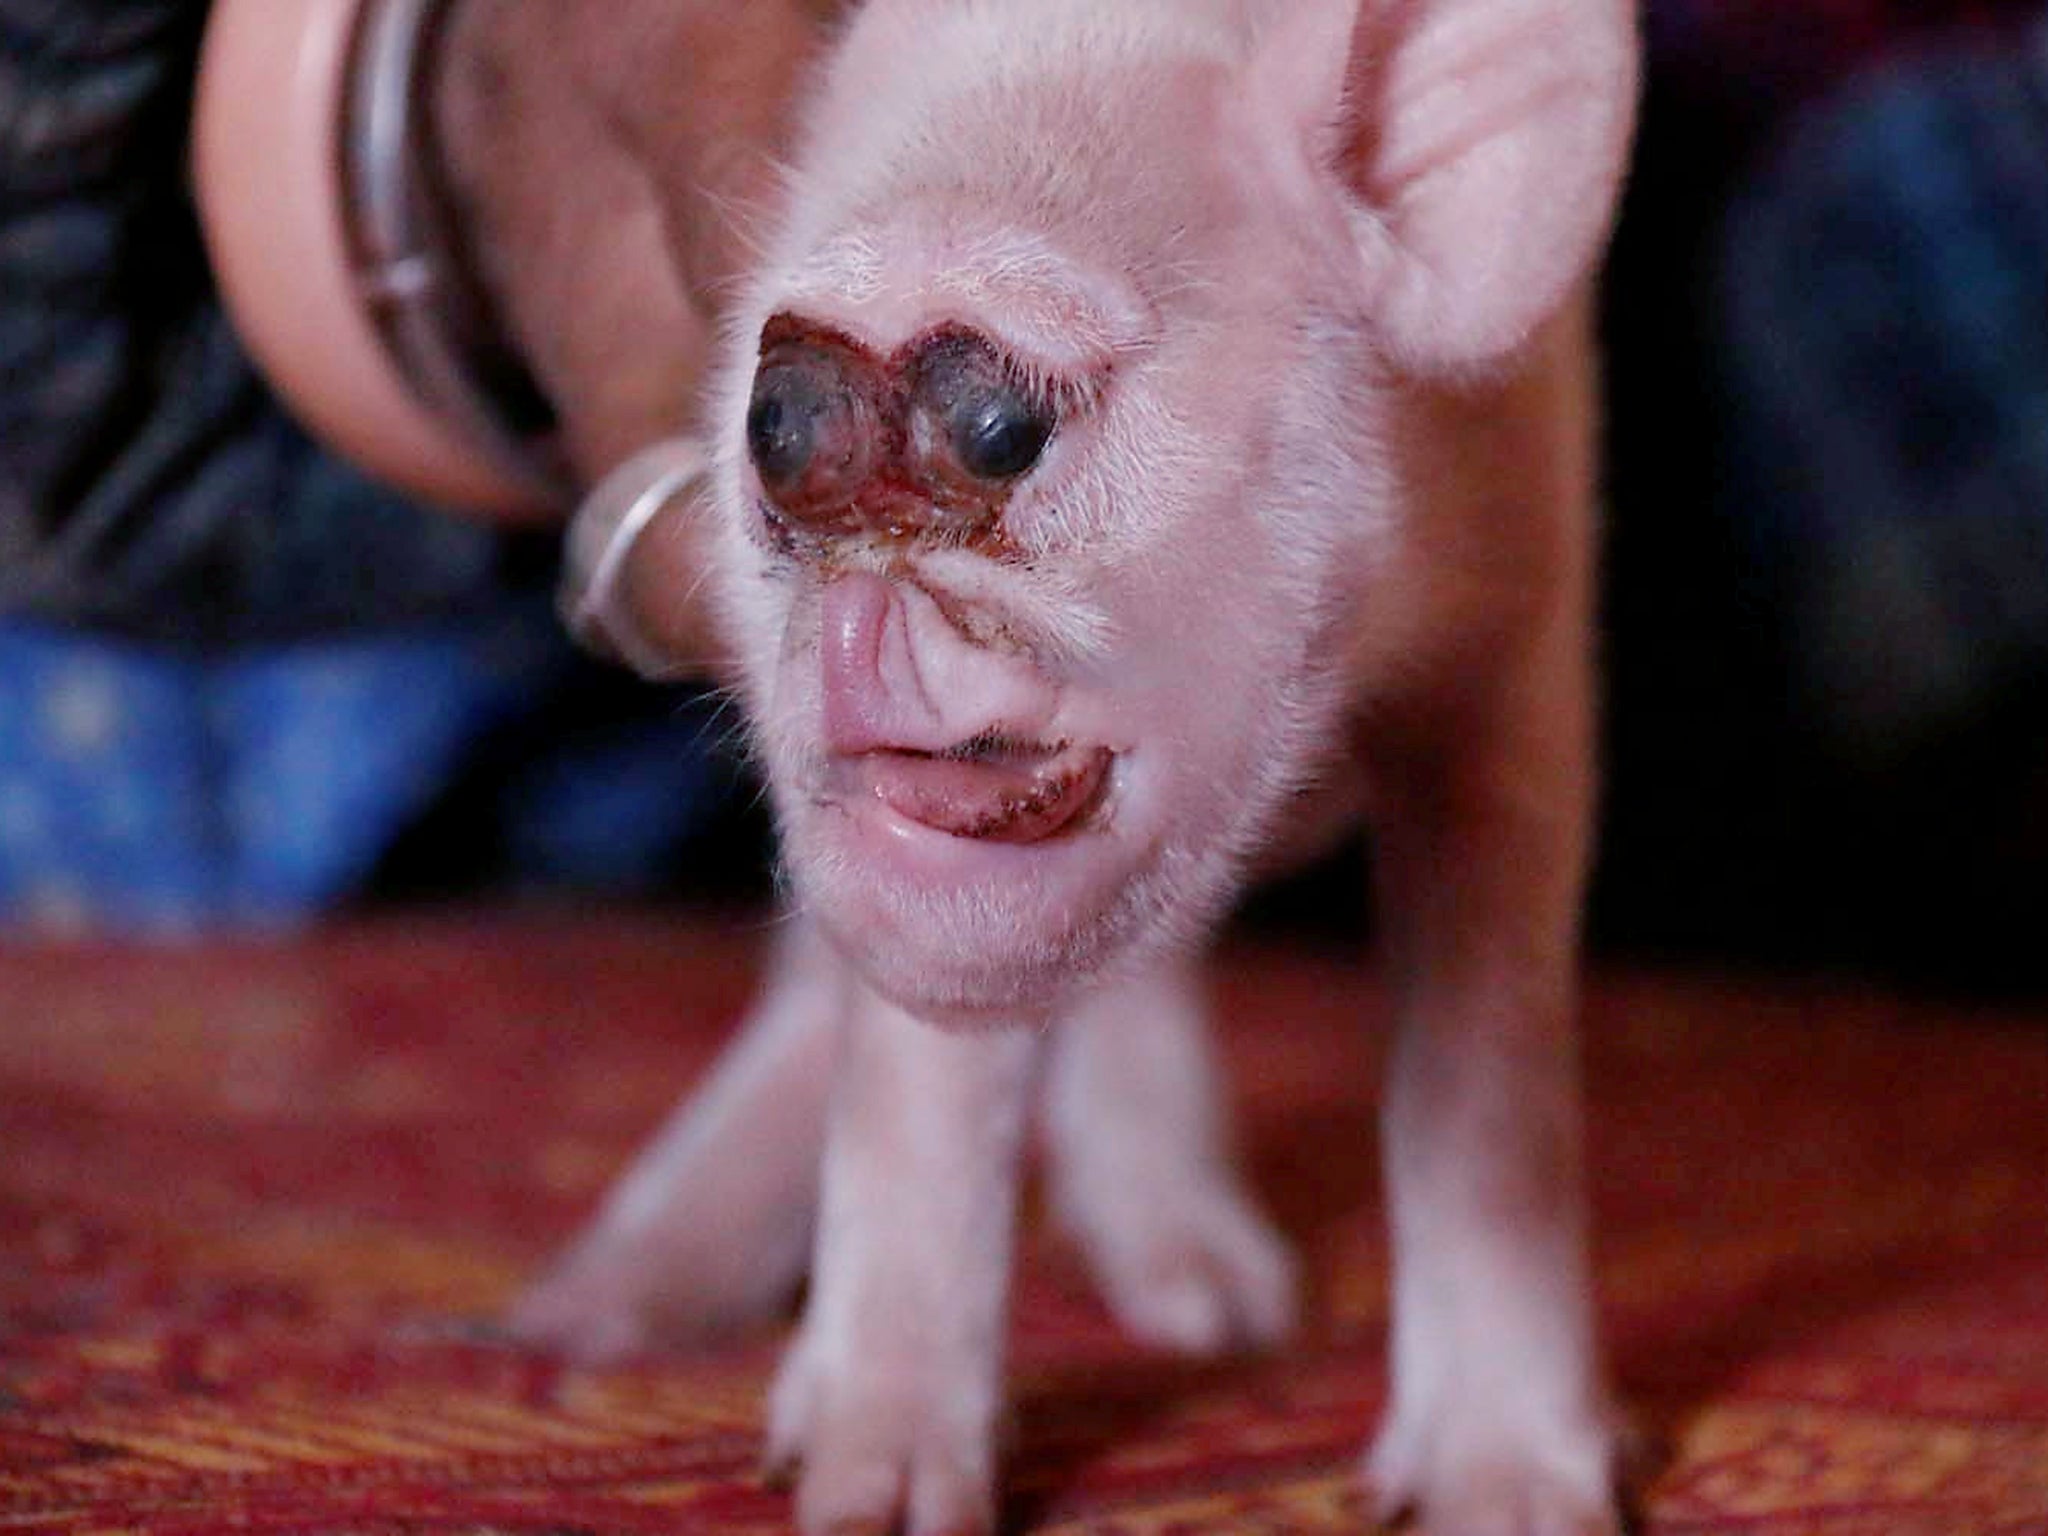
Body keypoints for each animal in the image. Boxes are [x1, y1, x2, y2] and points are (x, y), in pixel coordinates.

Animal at [438, 0, 1639, 1531]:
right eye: (774, 427)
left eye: (1000, 428)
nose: (857, 634)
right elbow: (915, 1078)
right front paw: (866, 1499)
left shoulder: (1526, 601)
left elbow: (1484, 1057)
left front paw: (1516, 1499)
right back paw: (569, 1319)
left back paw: (1218, 1311)